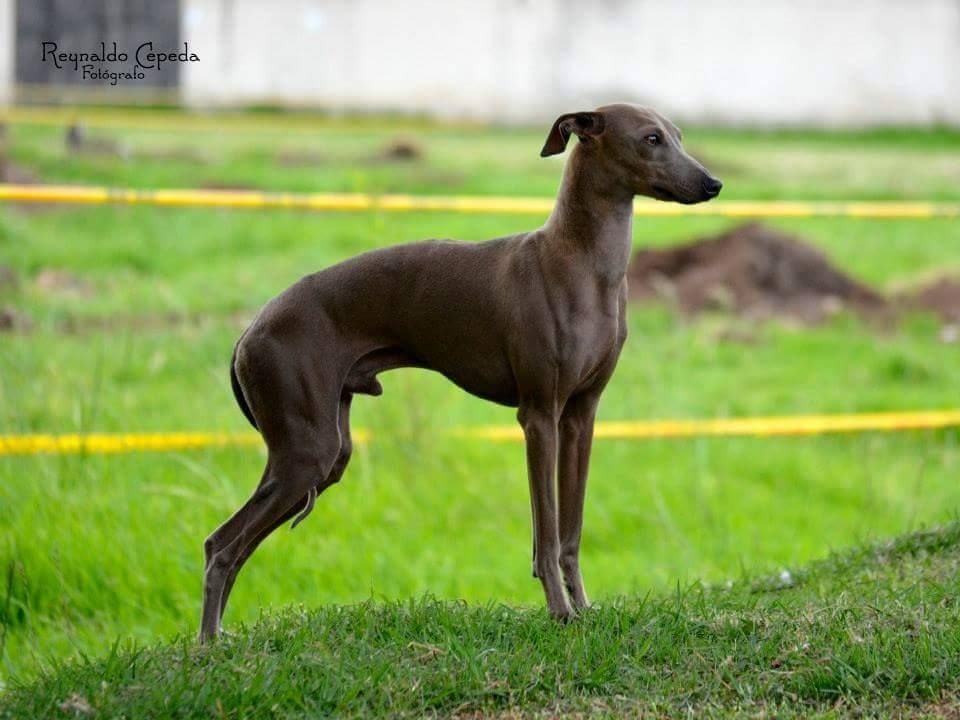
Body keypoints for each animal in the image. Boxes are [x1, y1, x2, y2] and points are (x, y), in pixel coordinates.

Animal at [197, 104, 720, 640]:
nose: (713, 184)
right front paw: (559, 612)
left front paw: (583, 609)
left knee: (232, 544)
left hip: (323, 452)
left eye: (679, 136)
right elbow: (547, 532)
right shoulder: (539, 417)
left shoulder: (580, 418)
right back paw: (209, 644)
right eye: (651, 138)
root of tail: (250, 330)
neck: (581, 262)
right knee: (221, 545)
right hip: (307, 452)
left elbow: (570, 532)